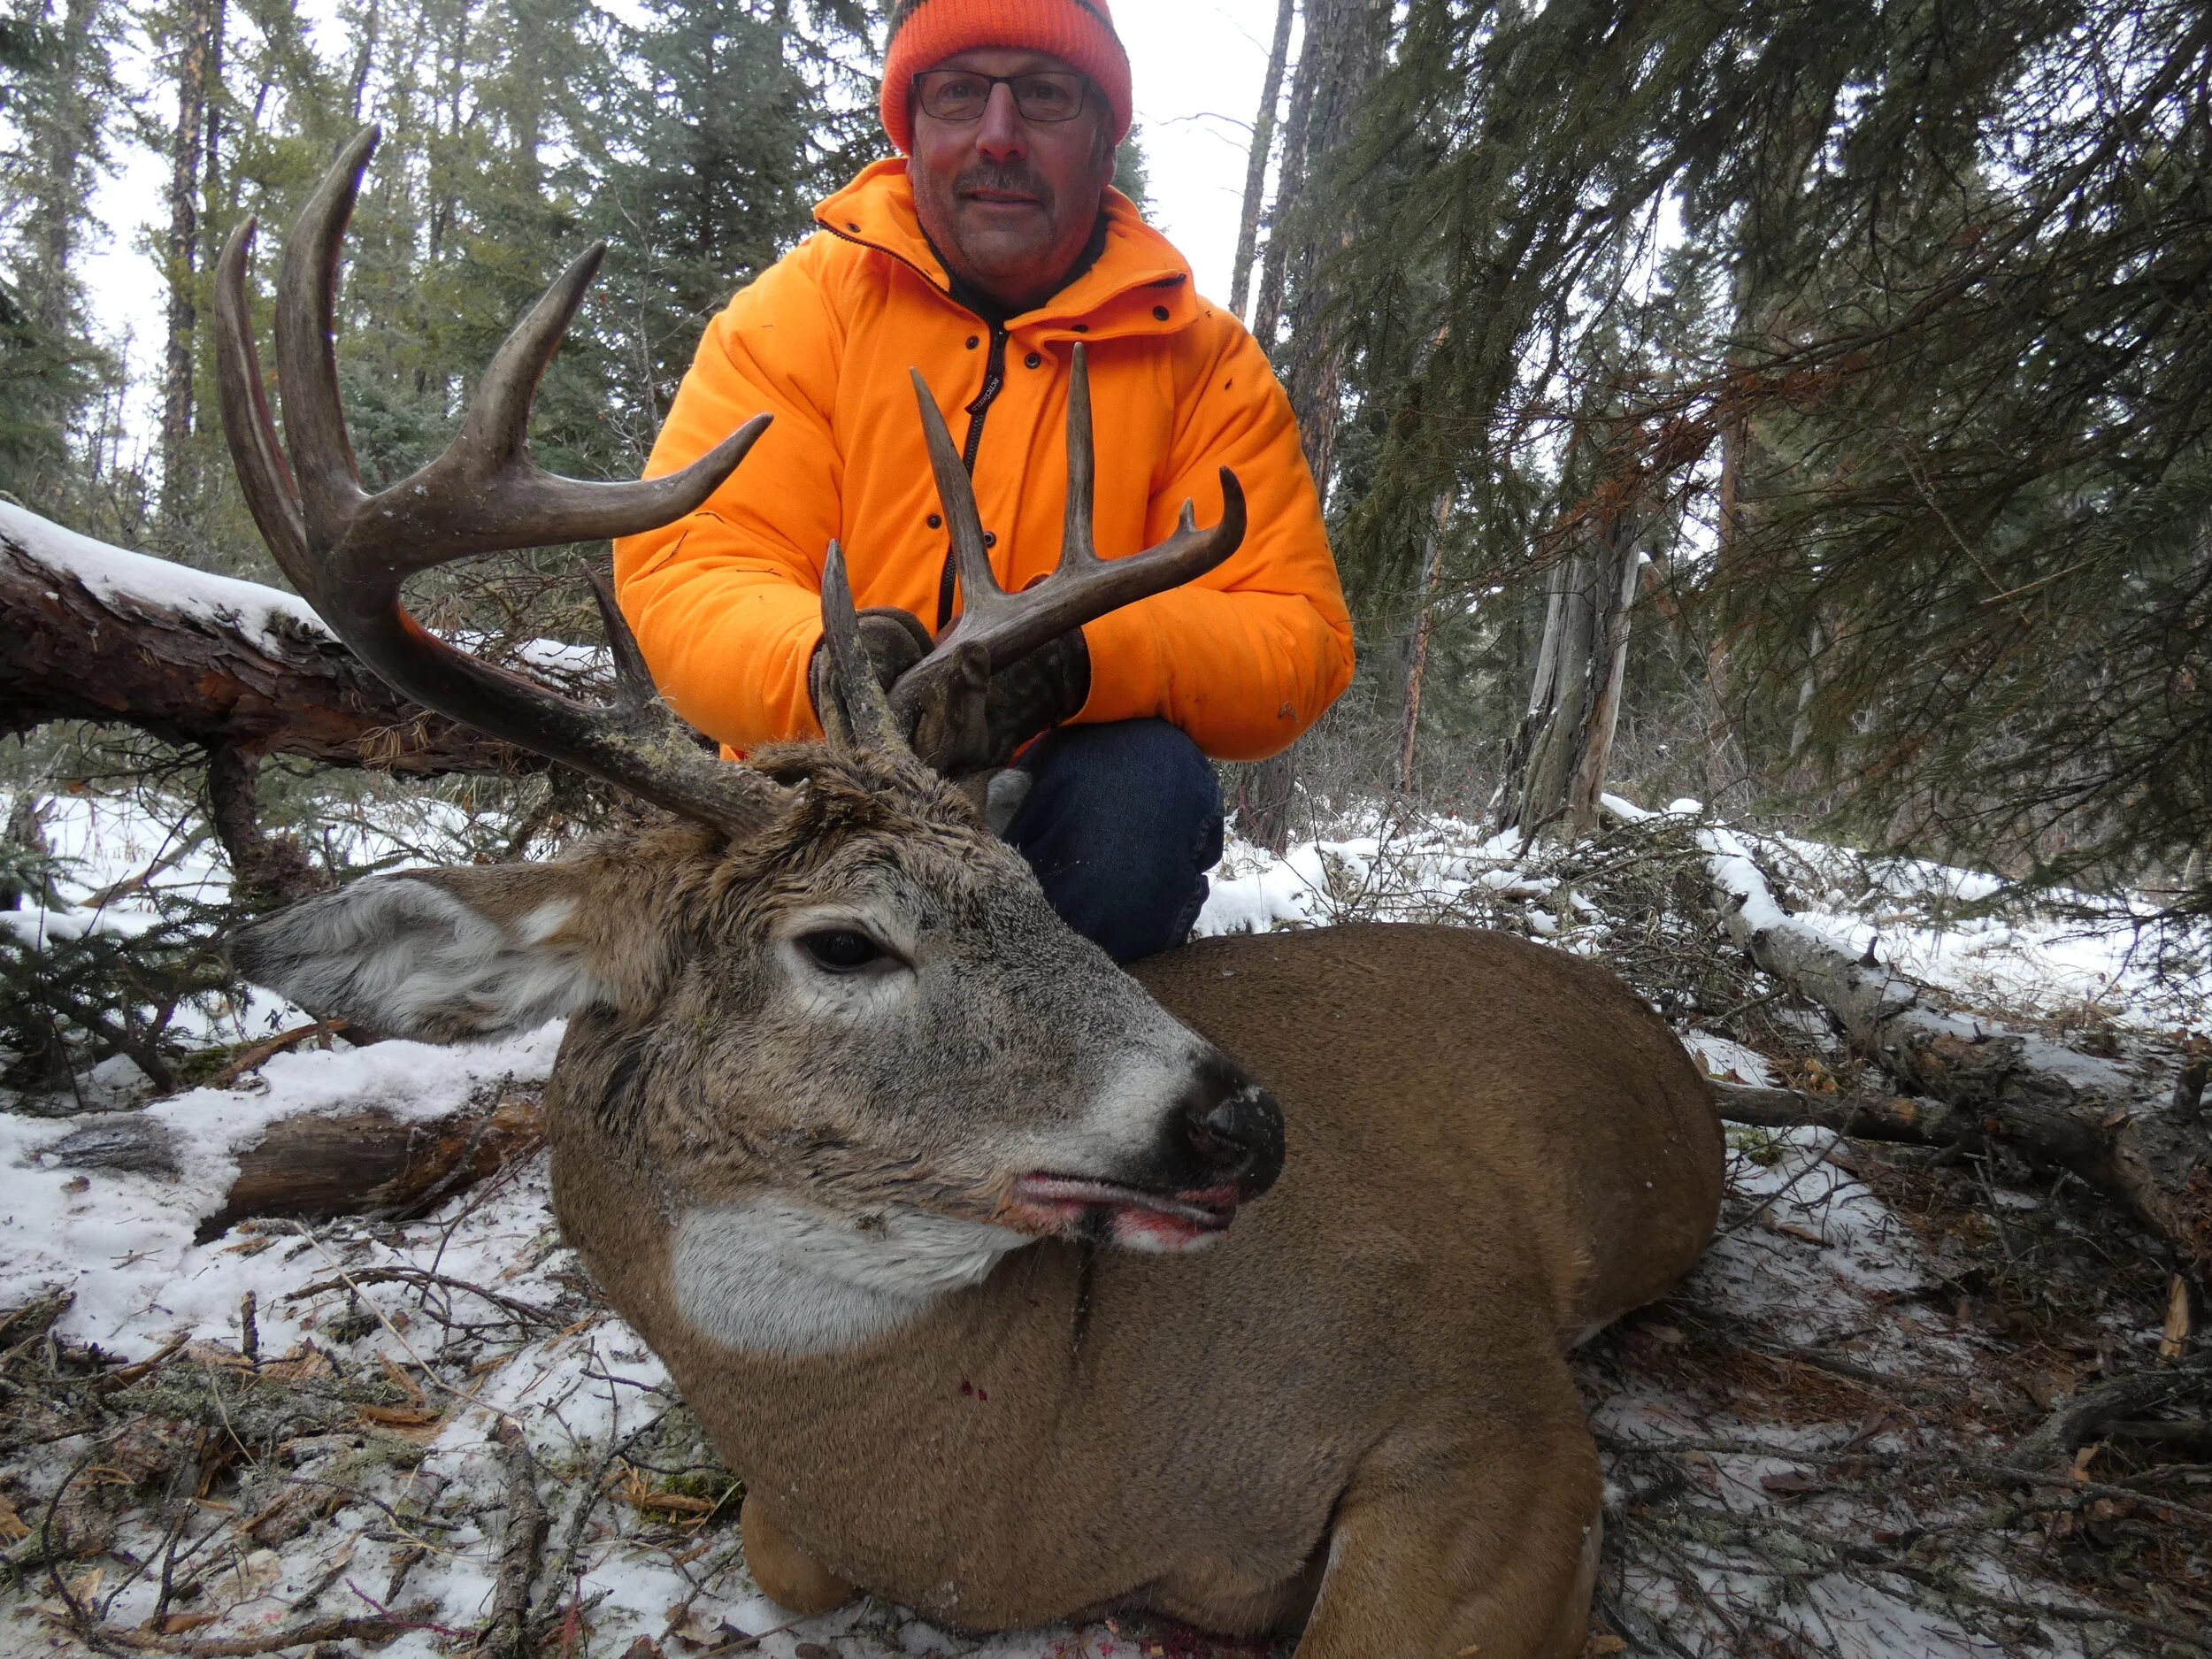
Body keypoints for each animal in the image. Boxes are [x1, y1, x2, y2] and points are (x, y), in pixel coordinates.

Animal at [211, 129, 1724, 1659]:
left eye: (1030, 884)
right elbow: (780, 1551)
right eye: (842, 942)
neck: (1035, 1473)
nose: (1244, 1121)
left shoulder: (1483, 1393)